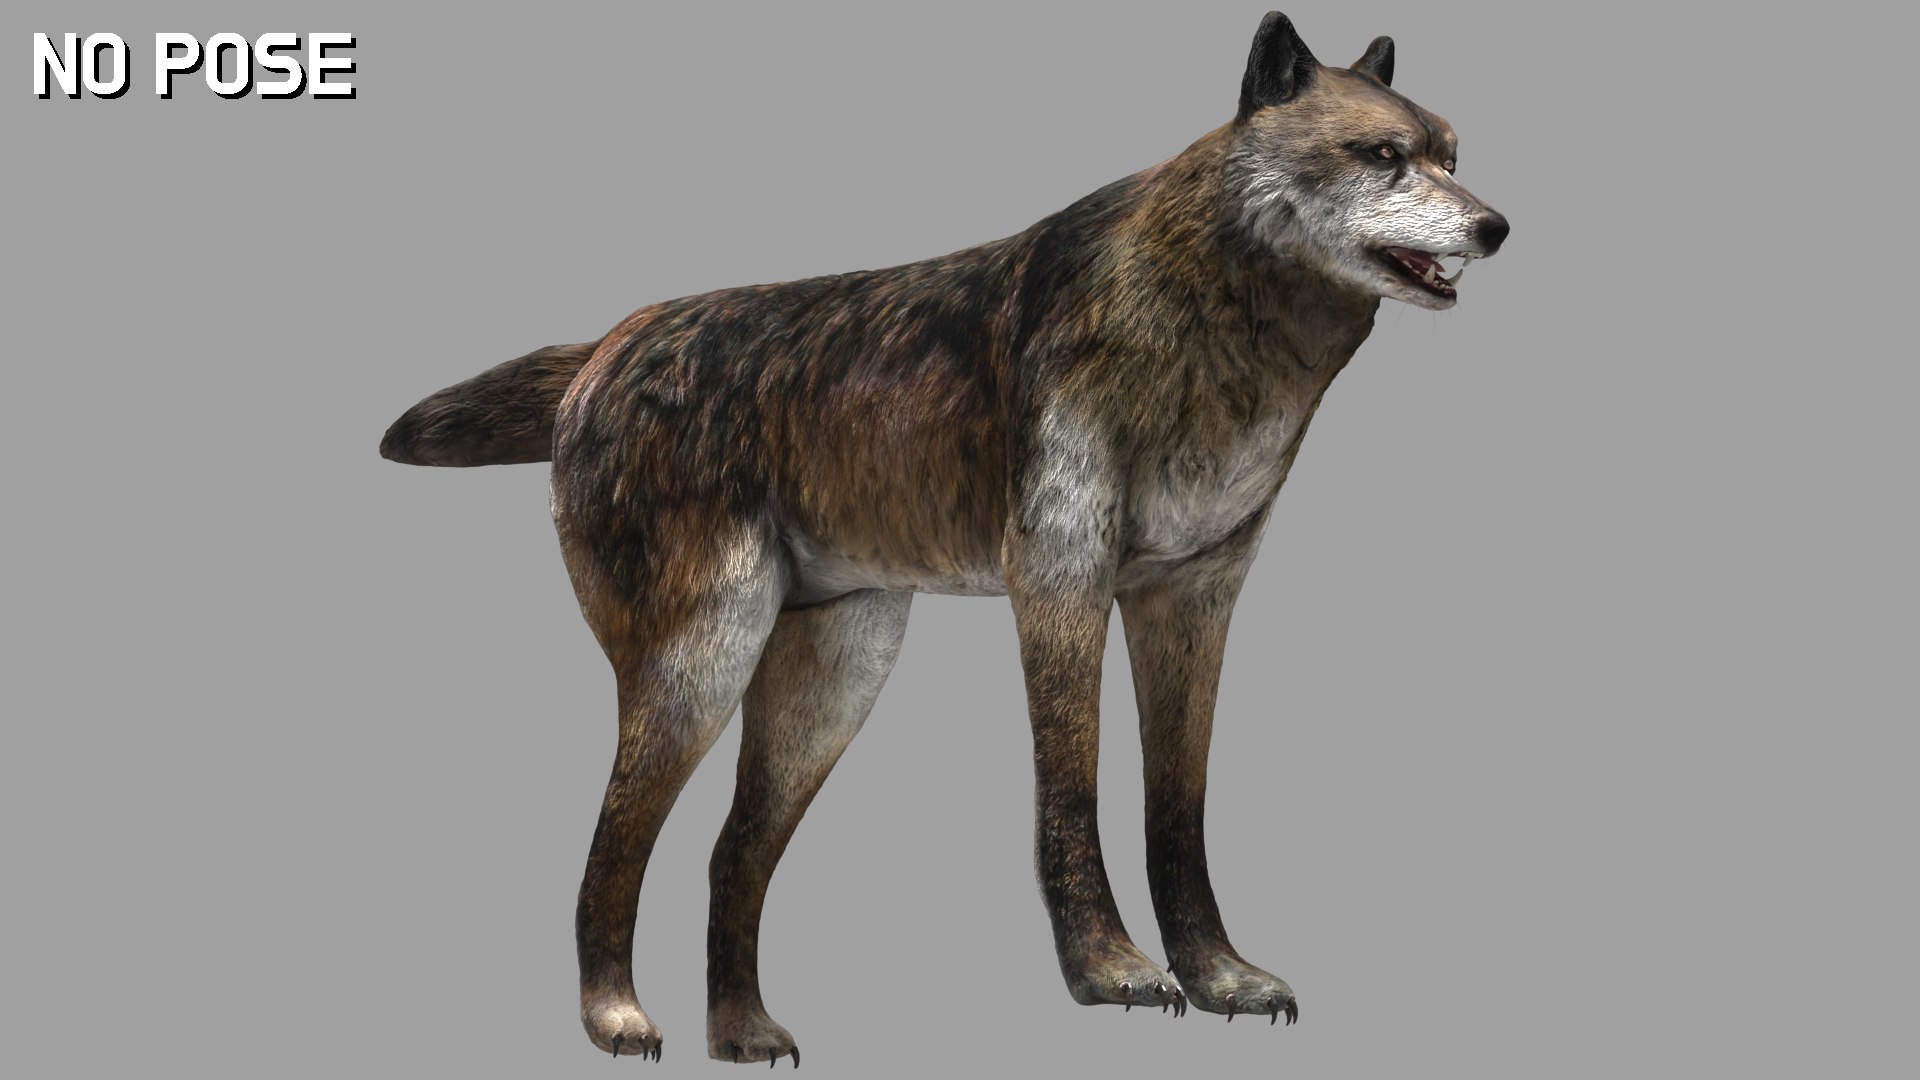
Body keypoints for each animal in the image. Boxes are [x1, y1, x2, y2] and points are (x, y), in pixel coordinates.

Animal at [381, 11, 1507, 1065]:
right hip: (702, 665)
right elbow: (1074, 792)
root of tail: (607, 345)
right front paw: (1109, 970)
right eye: (1382, 155)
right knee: (613, 847)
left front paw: (1219, 976)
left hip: (835, 683)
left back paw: (741, 1032)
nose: (1497, 225)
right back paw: (615, 1017)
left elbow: (1177, 813)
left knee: (729, 857)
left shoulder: (1193, 602)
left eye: (1453, 152)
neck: (1206, 321)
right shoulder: (1061, 579)